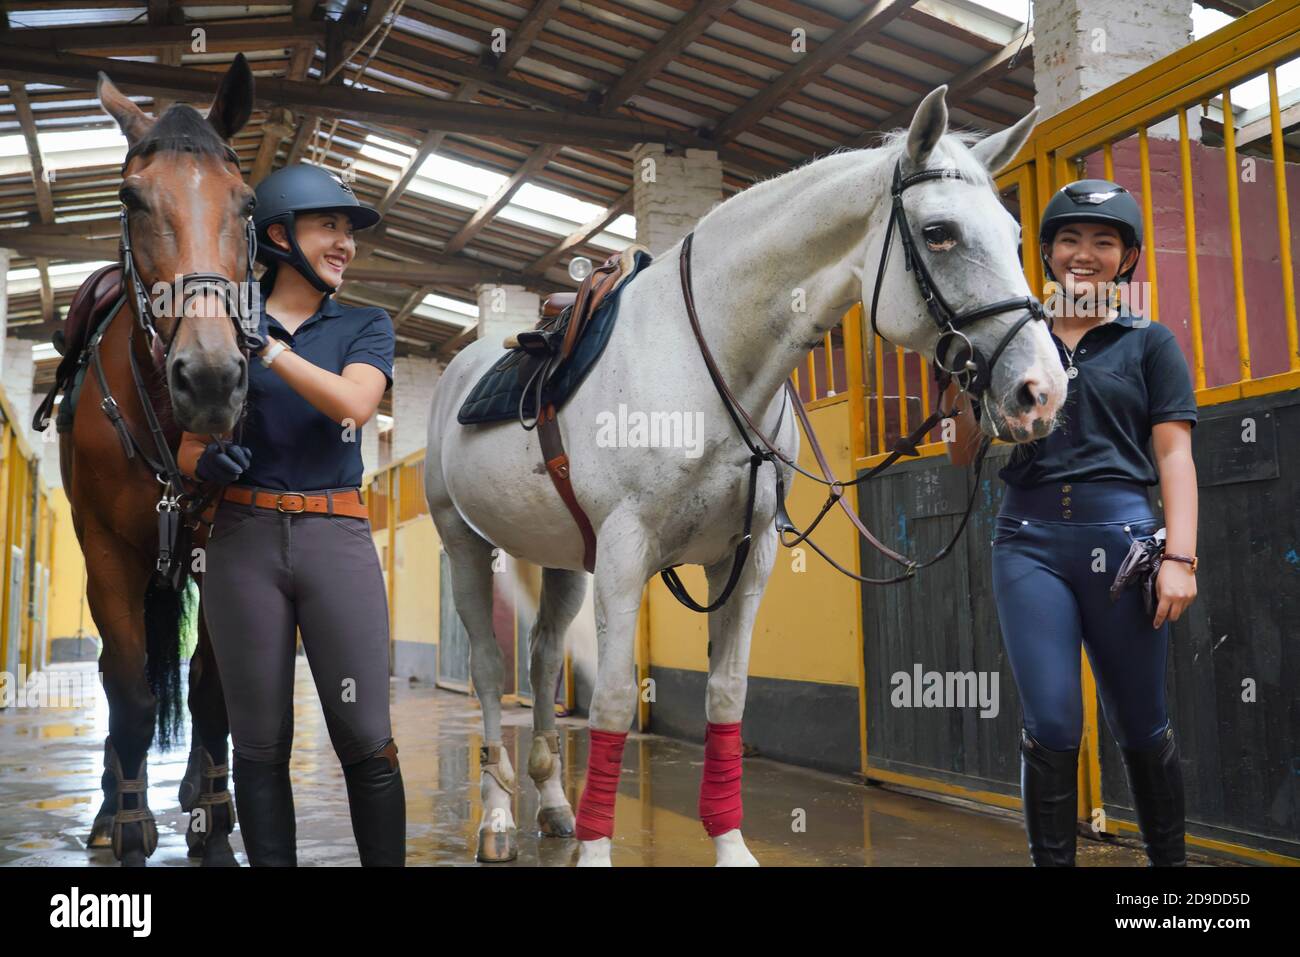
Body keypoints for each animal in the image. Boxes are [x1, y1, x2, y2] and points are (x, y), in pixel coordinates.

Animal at [424, 87, 1068, 866]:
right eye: (939, 232)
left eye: (1013, 233)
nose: (1041, 391)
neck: (709, 362)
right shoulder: (625, 553)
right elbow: (613, 700)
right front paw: (601, 849)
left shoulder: (744, 554)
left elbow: (727, 695)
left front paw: (729, 845)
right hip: (465, 543)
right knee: (492, 668)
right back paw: (496, 820)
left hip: (565, 557)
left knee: (545, 657)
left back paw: (552, 805)